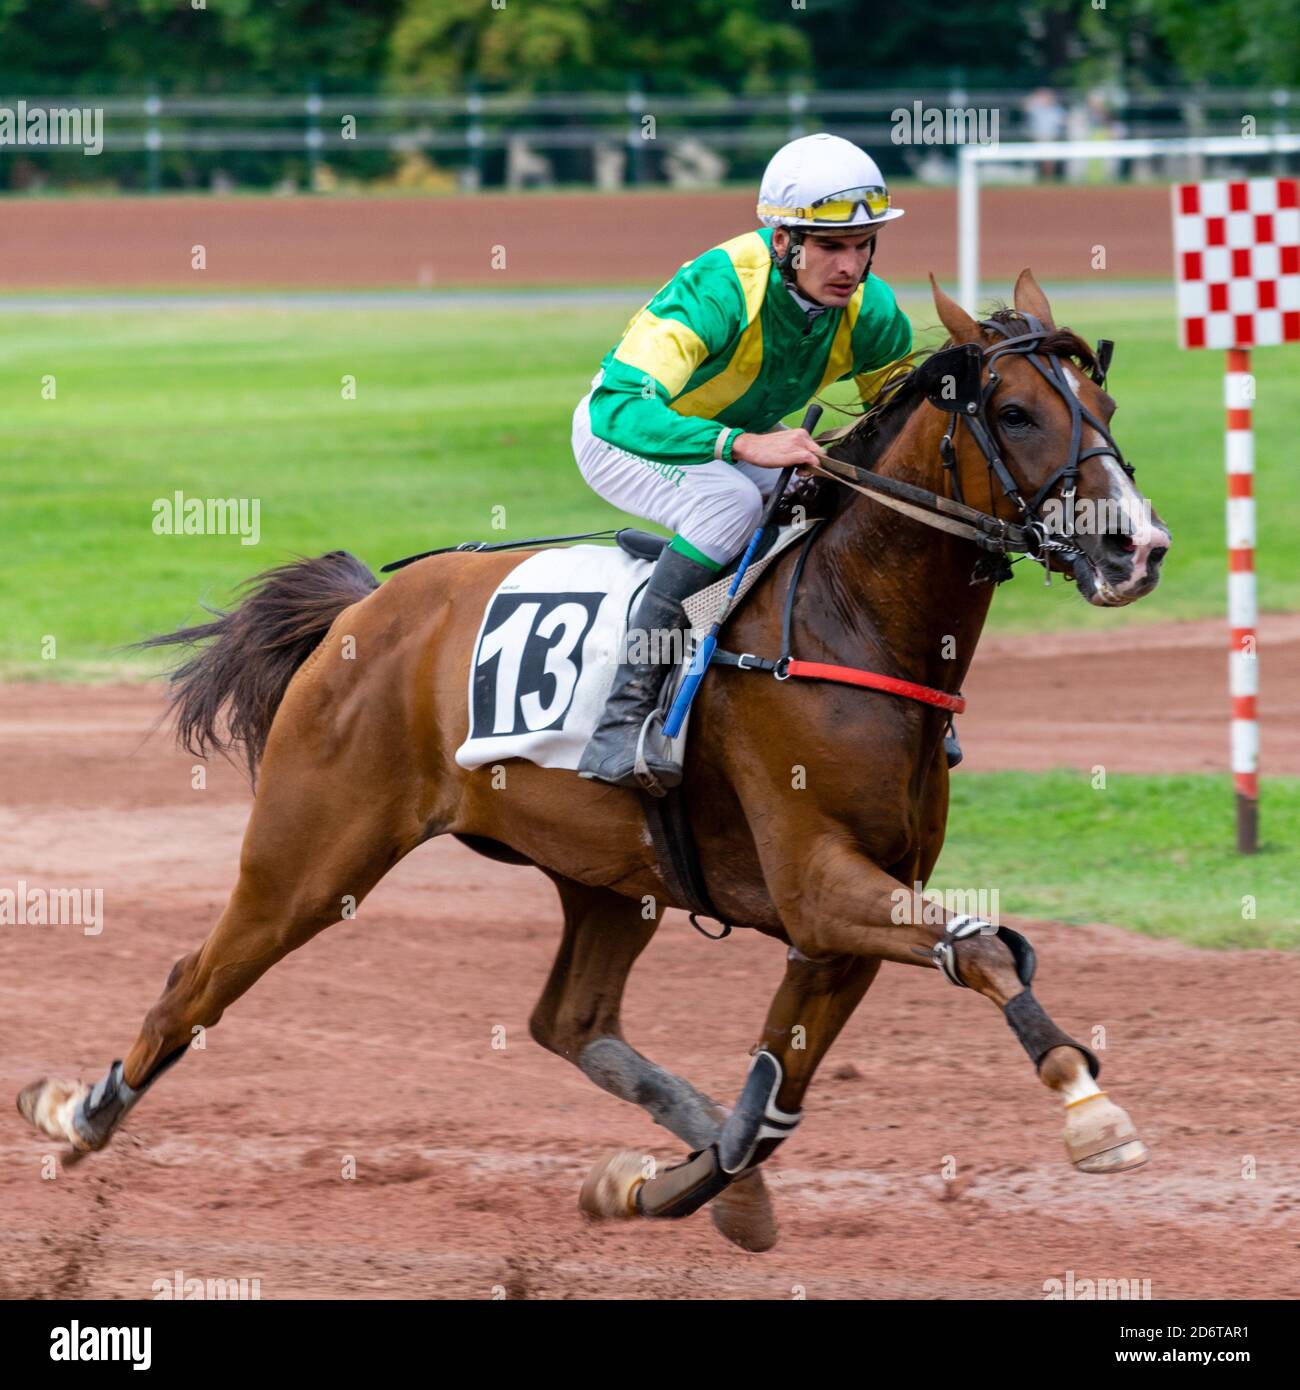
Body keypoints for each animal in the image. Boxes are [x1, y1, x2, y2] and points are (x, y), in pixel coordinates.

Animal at [19, 271, 1171, 1253]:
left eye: (1105, 401)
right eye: (1015, 412)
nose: (1138, 546)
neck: (846, 623)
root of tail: (364, 606)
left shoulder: (834, 927)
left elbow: (773, 1101)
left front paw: (673, 1184)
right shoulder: (816, 884)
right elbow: (985, 948)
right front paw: (1089, 1105)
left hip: (608, 874)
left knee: (569, 1021)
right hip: (308, 857)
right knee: (194, 983)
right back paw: (77, 1115)